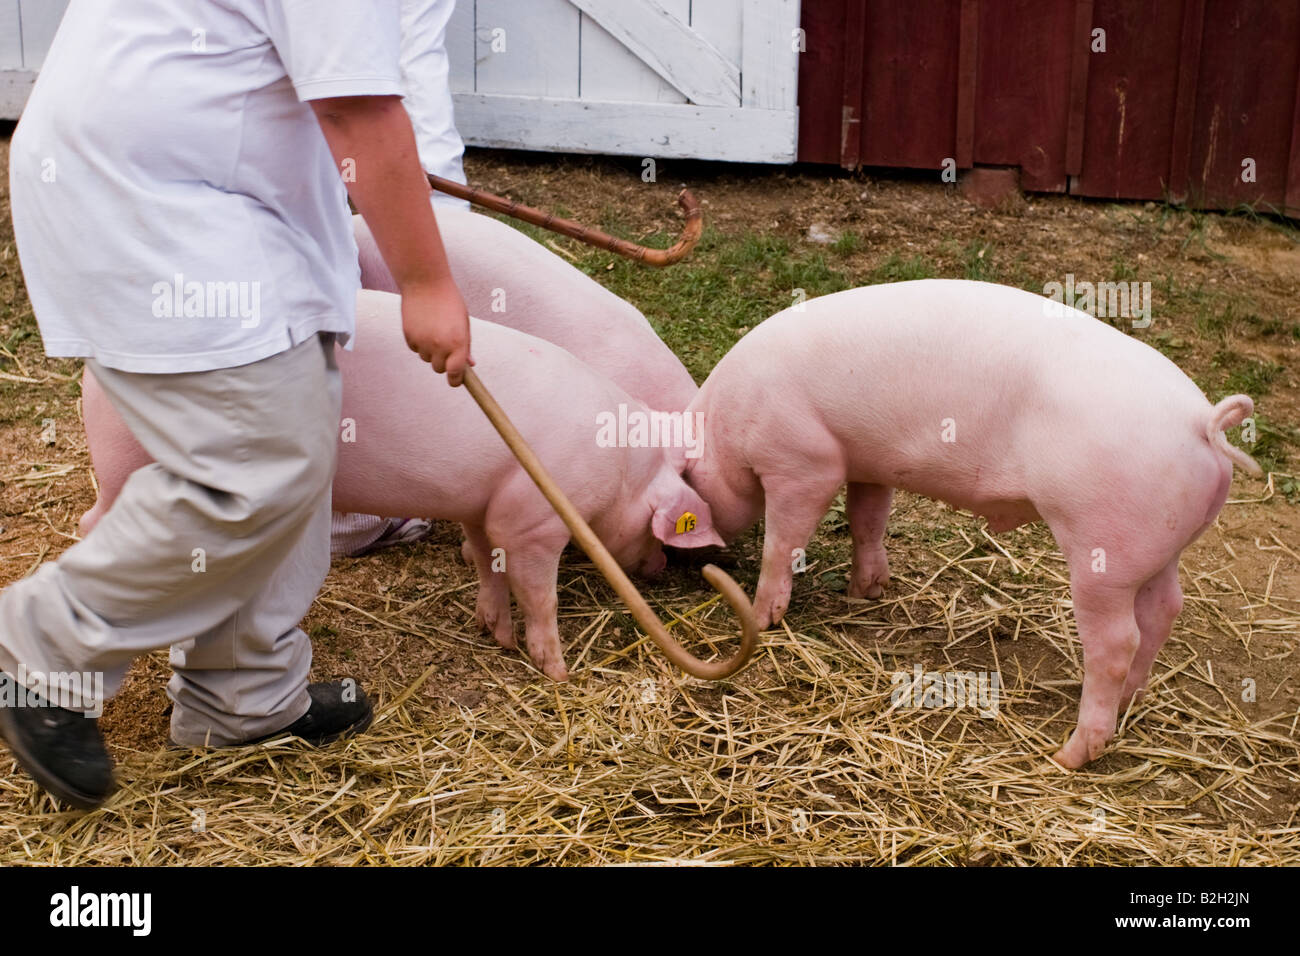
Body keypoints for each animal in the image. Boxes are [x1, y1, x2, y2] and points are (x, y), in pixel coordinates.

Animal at [79, 290, 724, 681]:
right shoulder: (531, 519)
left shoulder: (481, 505)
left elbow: (486, 567)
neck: (620, 473)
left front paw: (496, 636)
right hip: (132, 466)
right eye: (661, 528)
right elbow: (539, 592)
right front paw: (556, 670)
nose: (659, 570)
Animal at [682, 278, 1261, 769]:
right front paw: (865, 591)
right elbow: (867, 519)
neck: (727, 426)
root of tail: (1202, 422)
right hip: (1159, 549)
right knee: (1164, 612)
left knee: (1118, 641)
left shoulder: (803, 462)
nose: (693, 564)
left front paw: (764, 617)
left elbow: (784, 541)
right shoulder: (869, 464)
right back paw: (1129, 701)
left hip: (1104, 549)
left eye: (690, 485)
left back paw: (1068, 755)